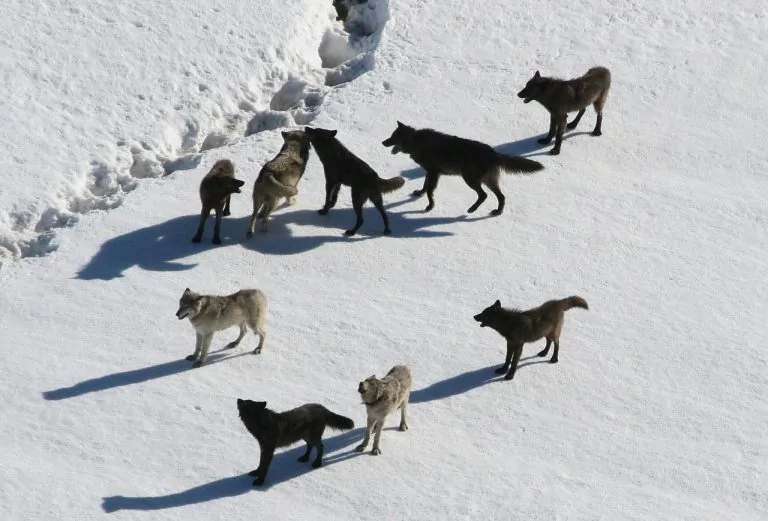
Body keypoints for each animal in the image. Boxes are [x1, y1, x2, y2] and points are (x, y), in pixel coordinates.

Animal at [381, 122, 544, 214]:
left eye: (392, 137)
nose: (383, 142)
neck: (415, 141)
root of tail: (493, 153)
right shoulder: (430, 172)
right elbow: (425, 187)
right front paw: (419, 194)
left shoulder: (433, 172)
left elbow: (429, 191)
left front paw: (430, 206)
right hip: (488, 181)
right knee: (501, 196)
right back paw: (497, 212)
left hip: (469, 178)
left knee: (484, 195)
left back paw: (472, 209)